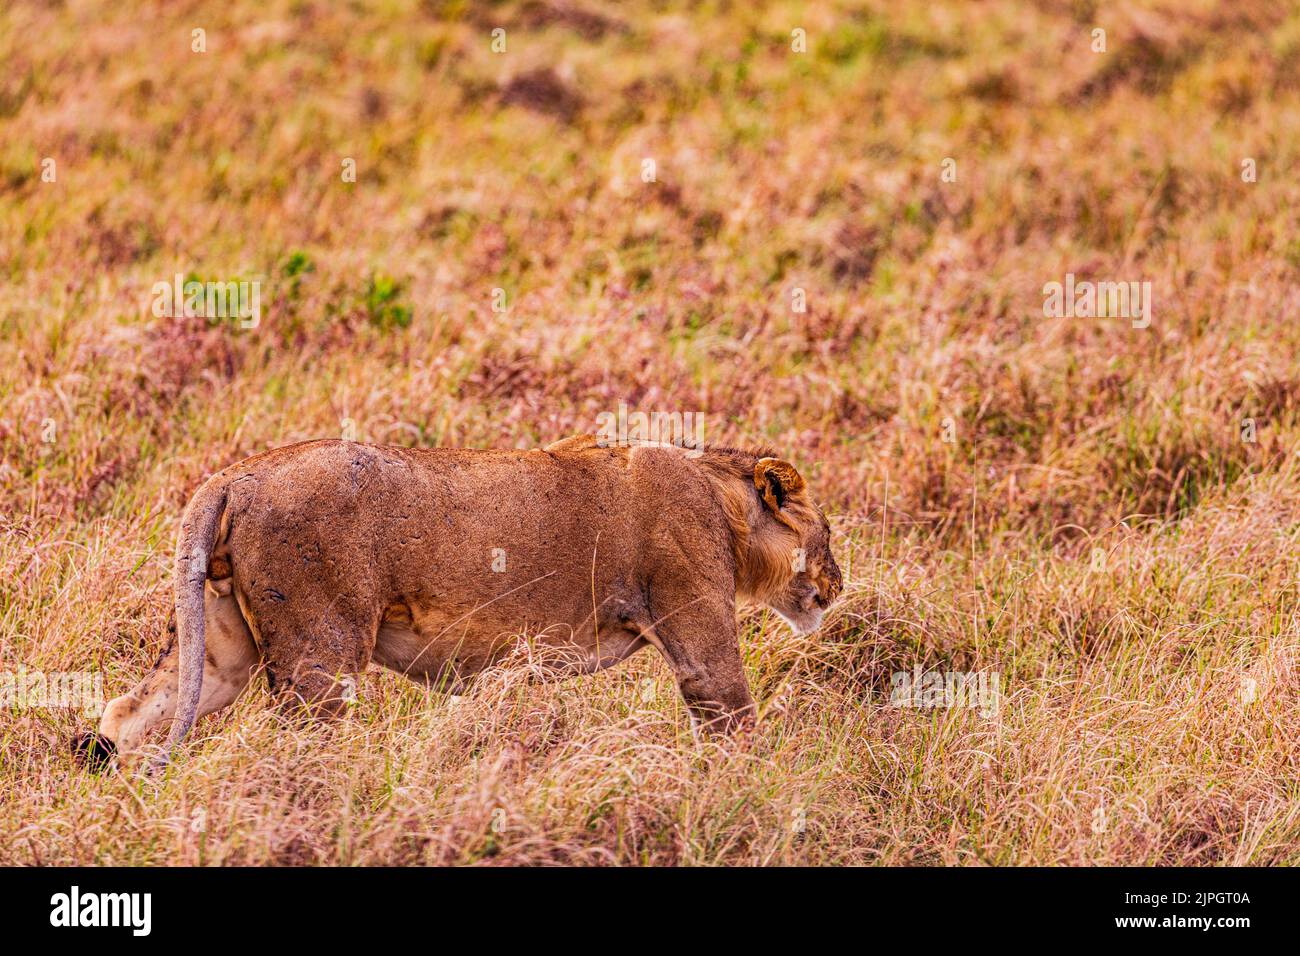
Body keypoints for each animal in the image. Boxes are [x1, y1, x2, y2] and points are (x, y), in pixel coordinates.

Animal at [72, 435, 843, 769]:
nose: (840, 585)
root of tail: (230, 477)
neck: (720, 498)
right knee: (301, 744)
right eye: (830, 534)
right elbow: (735, 722)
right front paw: (756, 793)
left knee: (131, 714)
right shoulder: (696, 624)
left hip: (221, 645)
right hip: (322, 655)